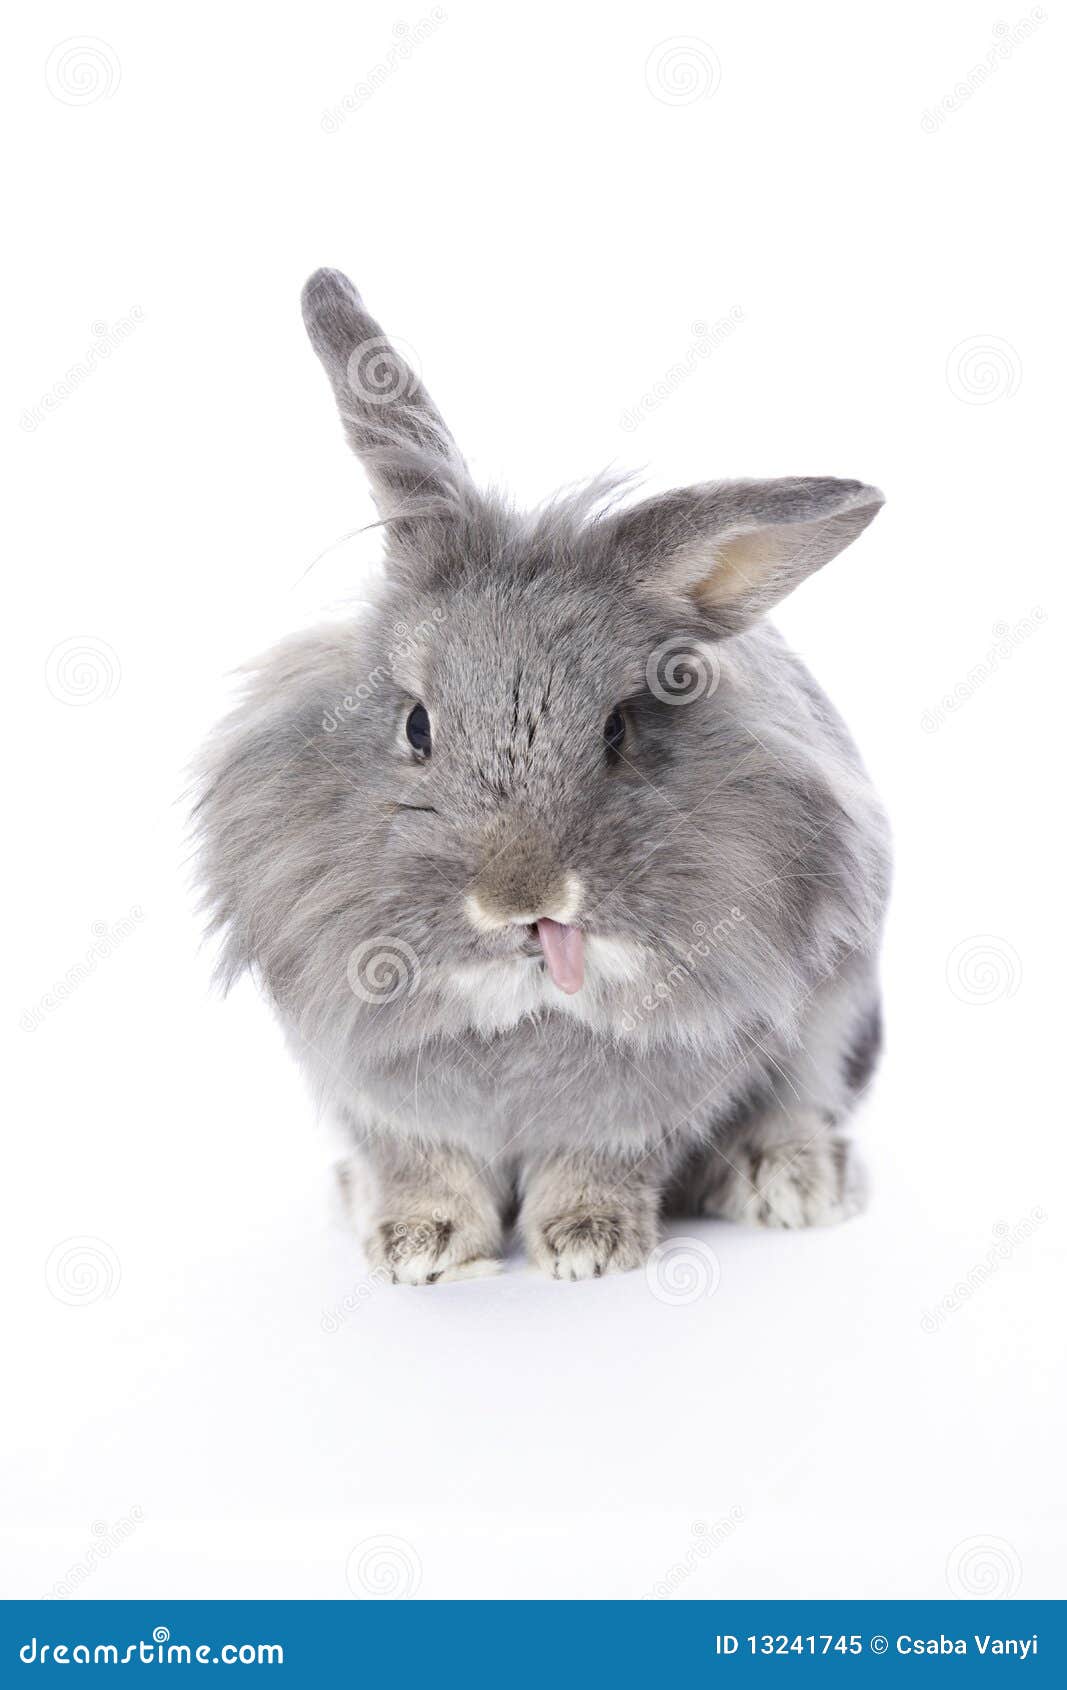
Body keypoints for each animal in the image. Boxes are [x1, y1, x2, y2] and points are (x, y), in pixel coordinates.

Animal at [194, 267, 890, 1284]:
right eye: (416, 725)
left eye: (618, 730)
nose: (522, 899)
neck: (516, 1008)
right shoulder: (382, 1097)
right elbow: (425, 1166)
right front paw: (418, 1251)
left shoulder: (658, 1091)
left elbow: (599, 1160)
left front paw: (589, 1246)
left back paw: (792, 1178)